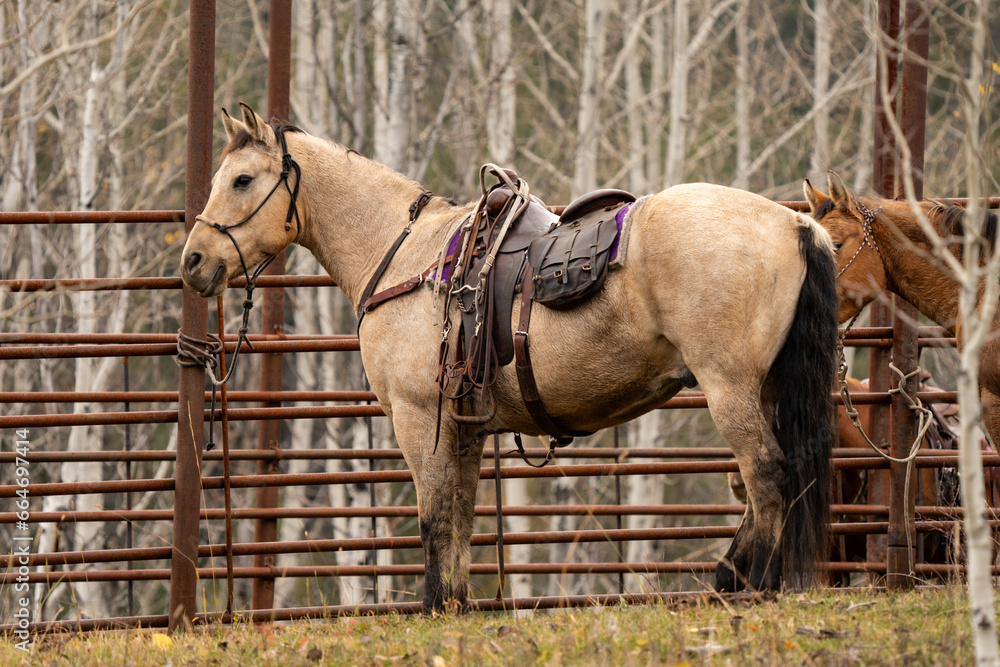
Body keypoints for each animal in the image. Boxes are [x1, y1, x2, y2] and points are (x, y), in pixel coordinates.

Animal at [180, 103, 838, 611]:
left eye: (242, 180)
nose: (193, 261)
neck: (405, 255)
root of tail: (794, 223)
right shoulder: (466, 430)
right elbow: (461, 517)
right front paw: (456, 603)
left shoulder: (419, 419)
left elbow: (433, 515)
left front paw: (433, 607)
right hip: (766, 389)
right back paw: (731, 580)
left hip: (729, 387)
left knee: (766, 476)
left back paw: (753, 585)